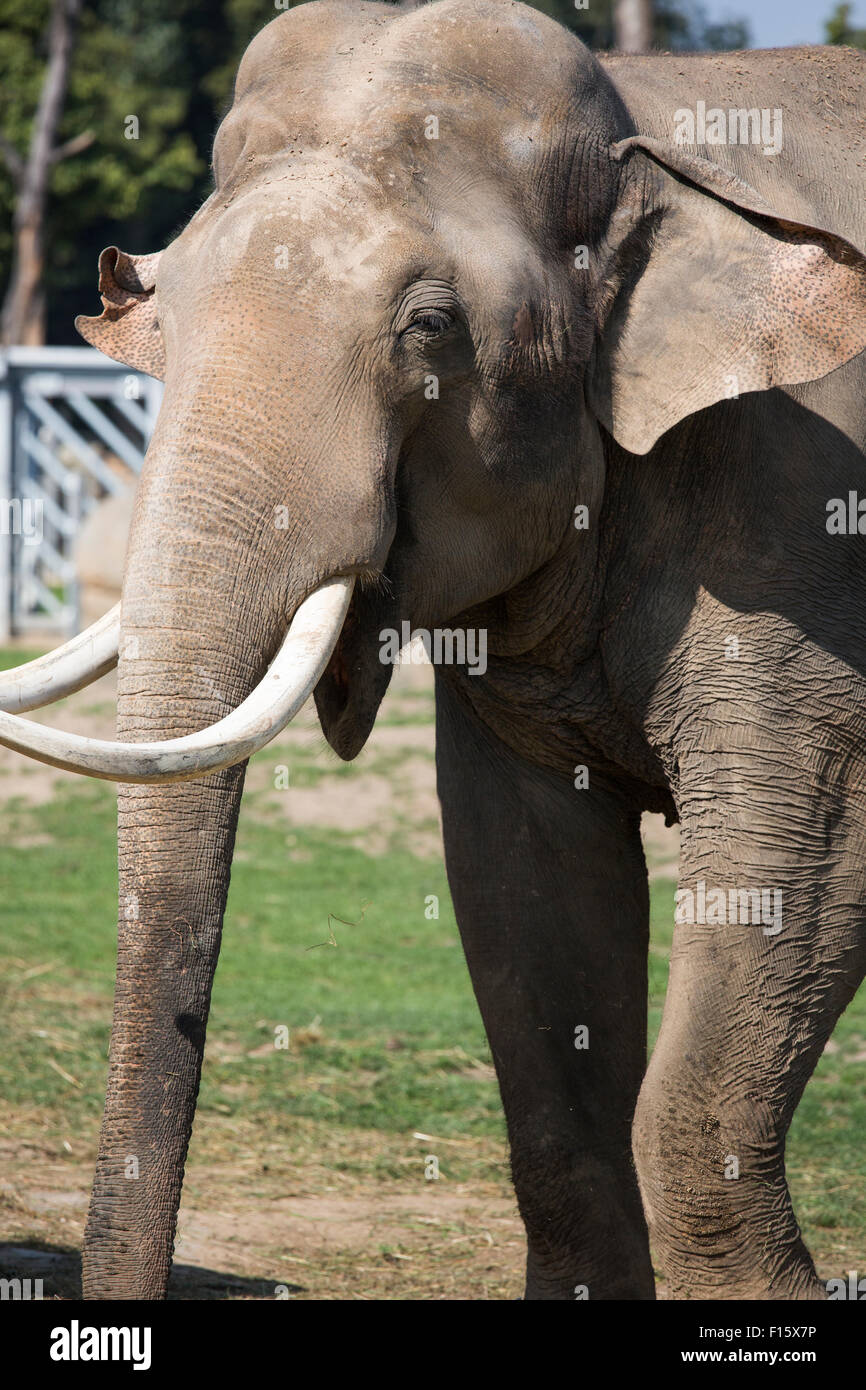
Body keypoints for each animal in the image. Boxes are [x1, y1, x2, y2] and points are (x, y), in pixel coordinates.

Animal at [2, 0, 866, 1300]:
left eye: (429, 329)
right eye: (156, 315)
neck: (644, 114)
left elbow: (797, 861)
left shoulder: (805, 519)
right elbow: (526, 902)